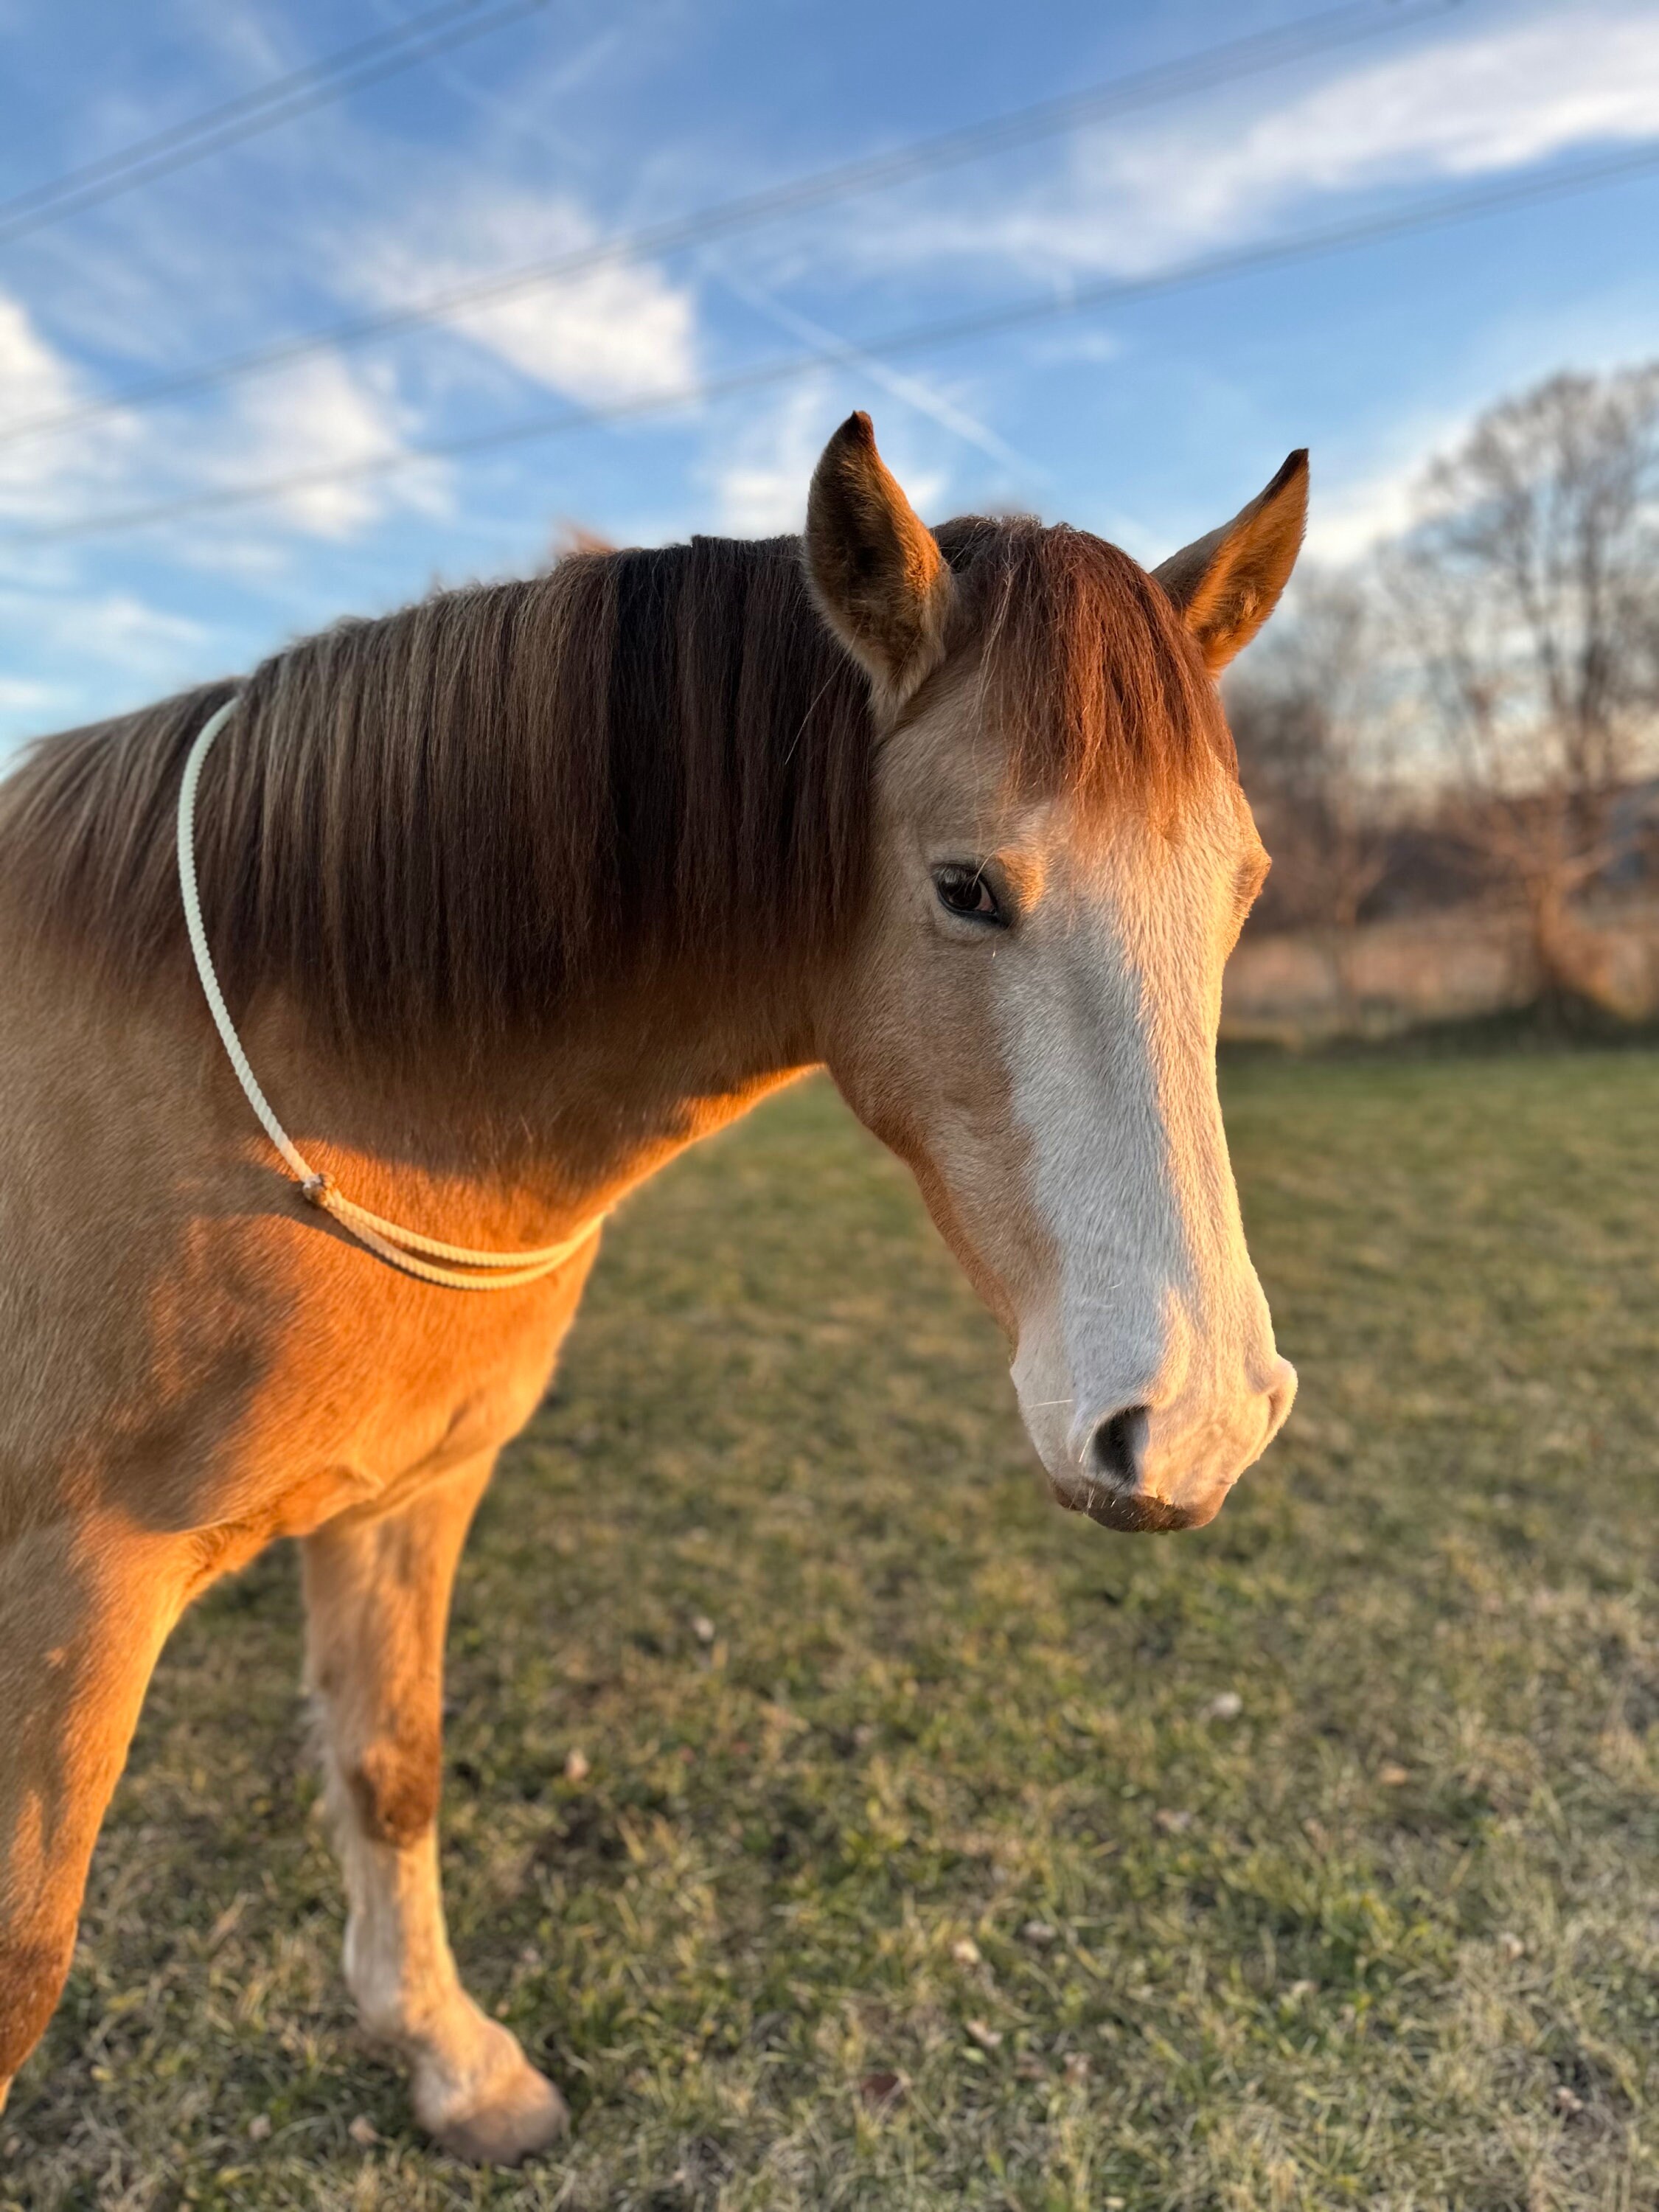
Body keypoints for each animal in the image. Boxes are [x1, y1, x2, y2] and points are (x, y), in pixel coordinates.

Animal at [0, 413, 1303, 2161]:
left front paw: (452, 2061)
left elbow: (393, 1767)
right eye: (967, 887)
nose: (1203, 1418)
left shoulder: (408, 1497)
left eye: (1242, 888)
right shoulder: (72, 1588)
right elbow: (28, 1962)